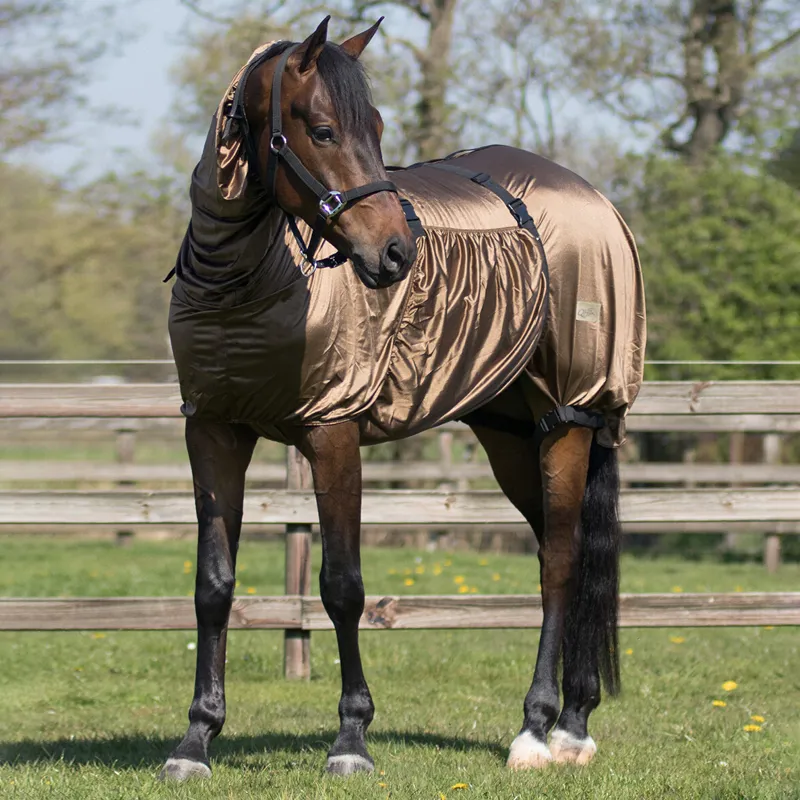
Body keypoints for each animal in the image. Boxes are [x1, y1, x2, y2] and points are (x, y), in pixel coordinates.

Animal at [160, 16, 646, 781]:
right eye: (324, 130)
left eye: (380, 128)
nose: (396, 253)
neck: (243, 280)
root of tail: (593, 200)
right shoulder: (211, 429)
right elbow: (214, 585)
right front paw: (196, 741)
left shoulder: (331, 433)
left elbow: (342, 587)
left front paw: (351, 739)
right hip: (510, 432)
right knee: (557, 552)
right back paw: (574, 721)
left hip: (567, 421)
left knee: (560, 565)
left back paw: (539, 729)